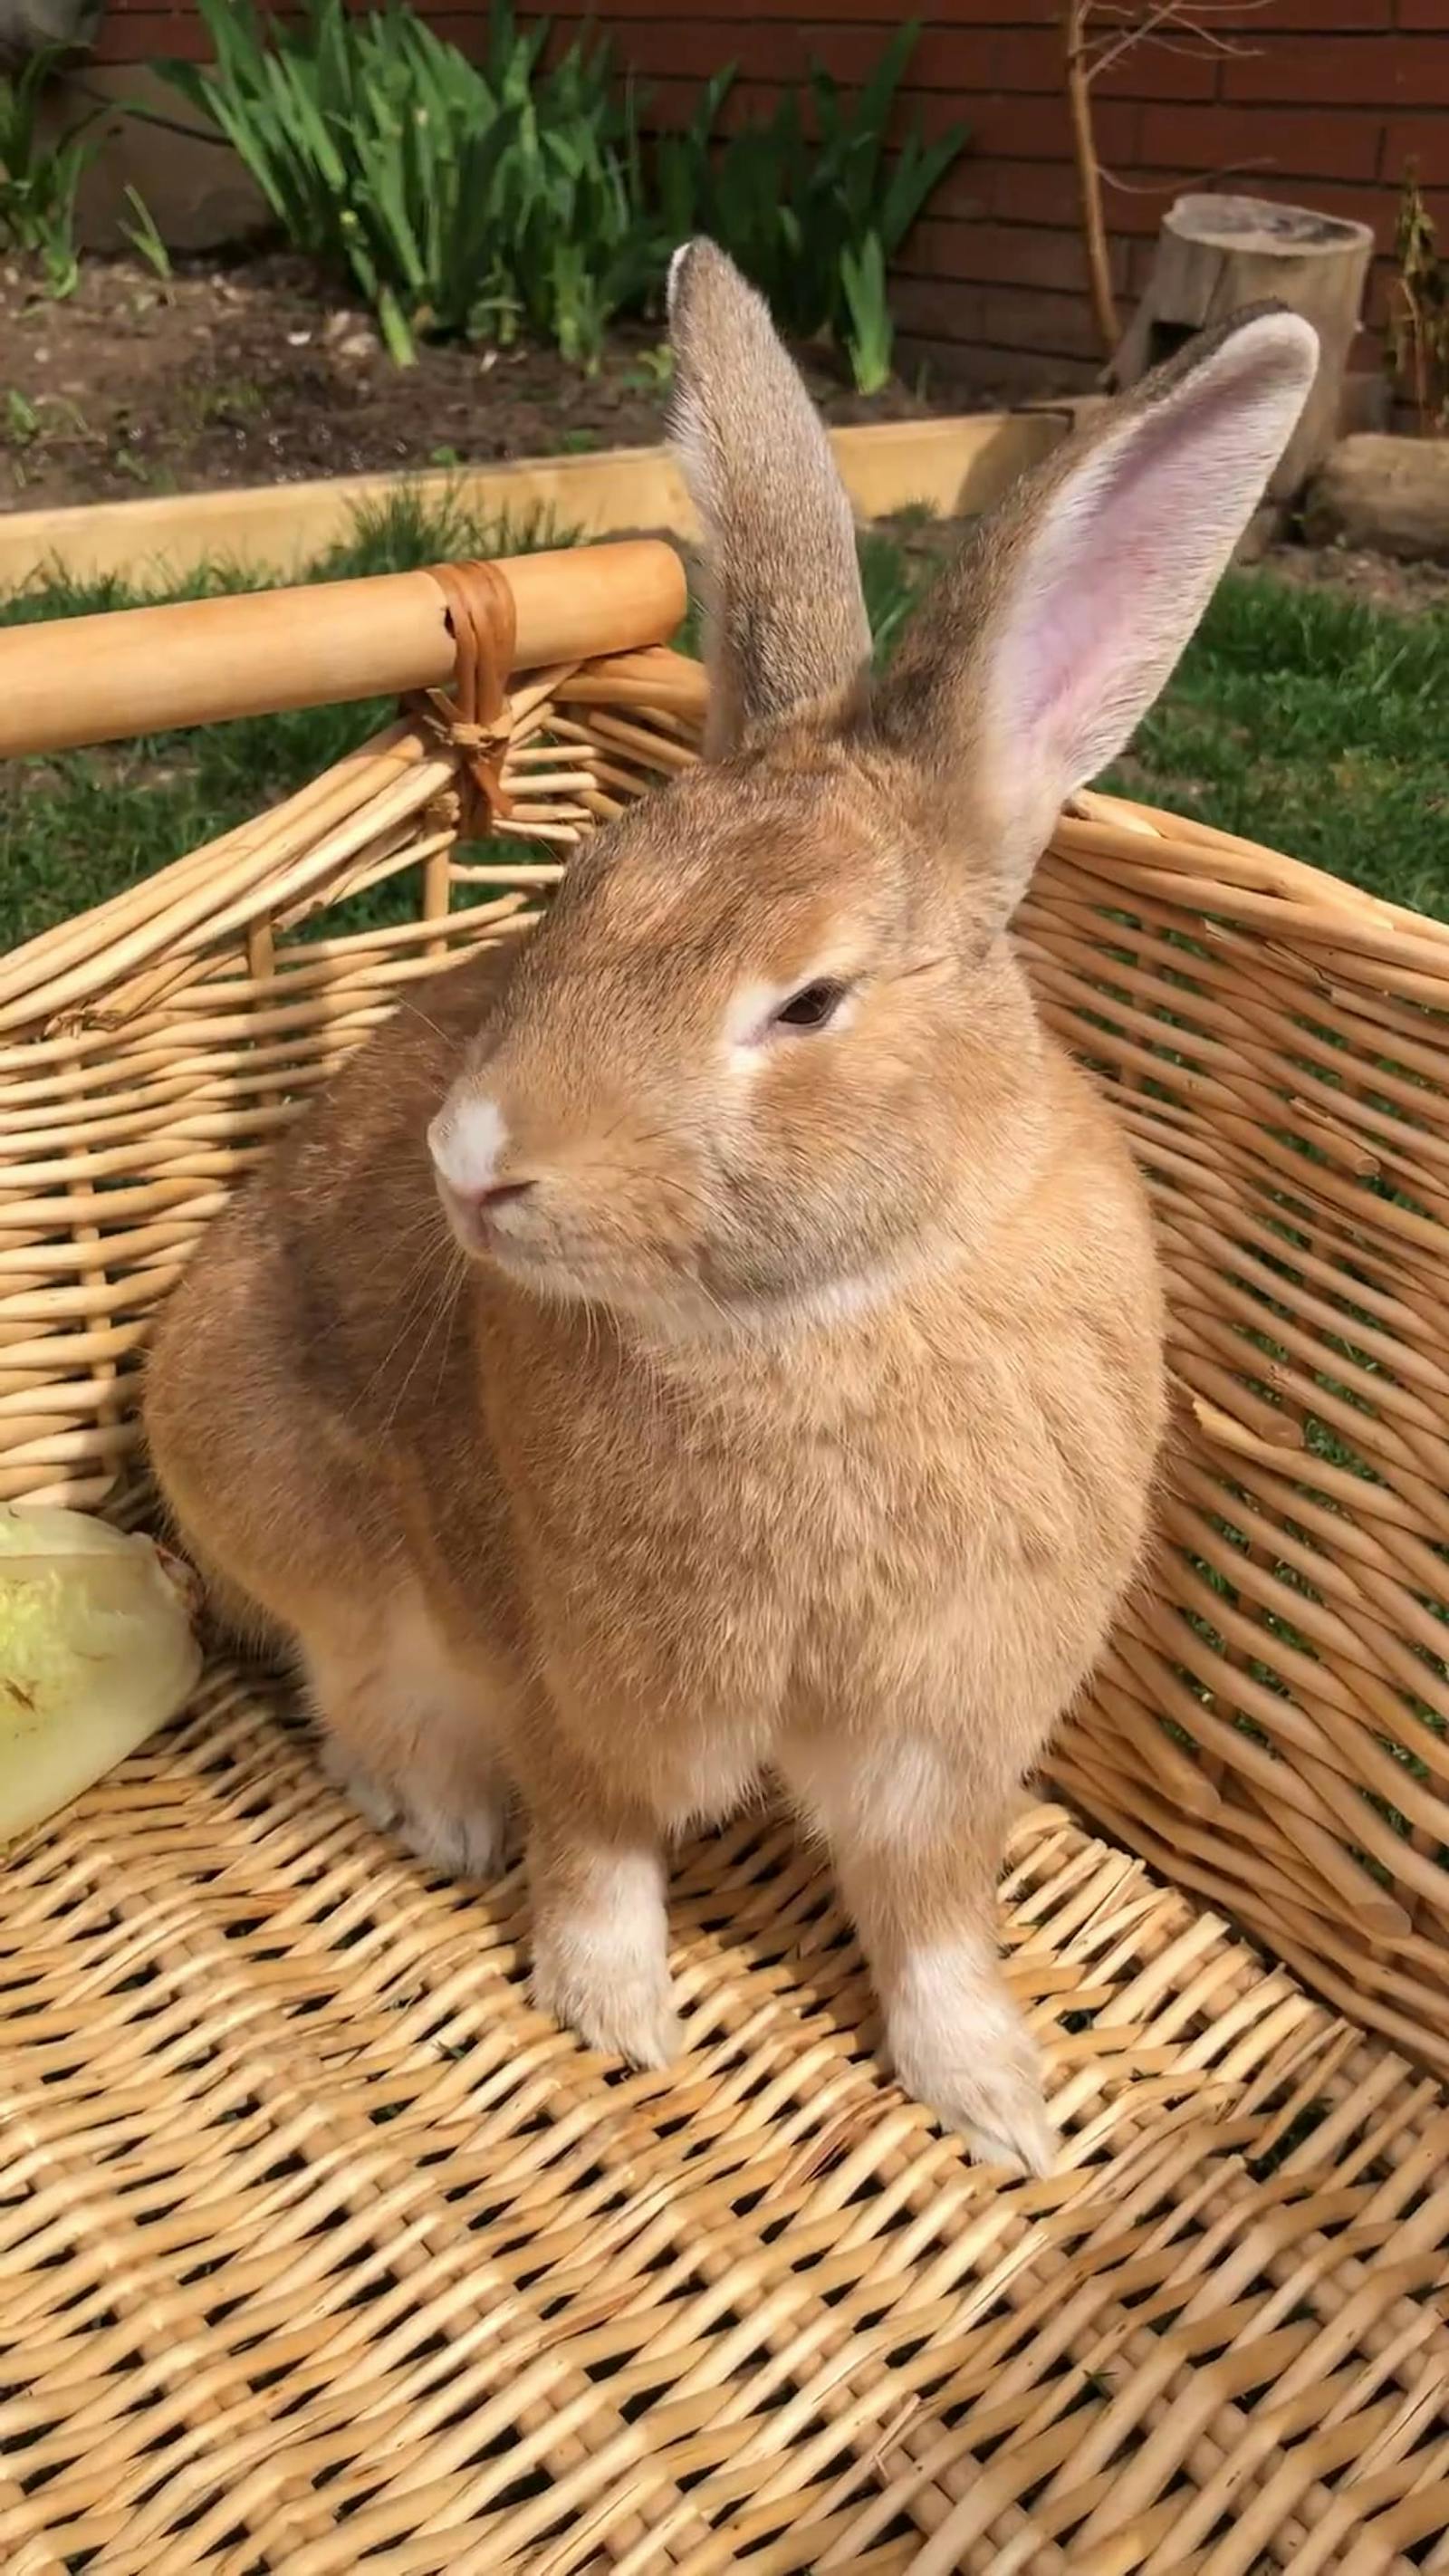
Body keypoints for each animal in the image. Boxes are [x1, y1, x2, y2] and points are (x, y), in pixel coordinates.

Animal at [144, 240, 1317, 2174]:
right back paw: (435, 1809)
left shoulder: (944, 1735)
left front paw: (996, 2102)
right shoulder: (576, 1667)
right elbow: (598, 1836)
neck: (821, 1313)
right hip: (273, 1481)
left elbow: (931, 1919)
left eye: (812, 1002)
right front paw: (612, 2010)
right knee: (350, 1676)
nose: (474, 1157)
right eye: (582, 889)